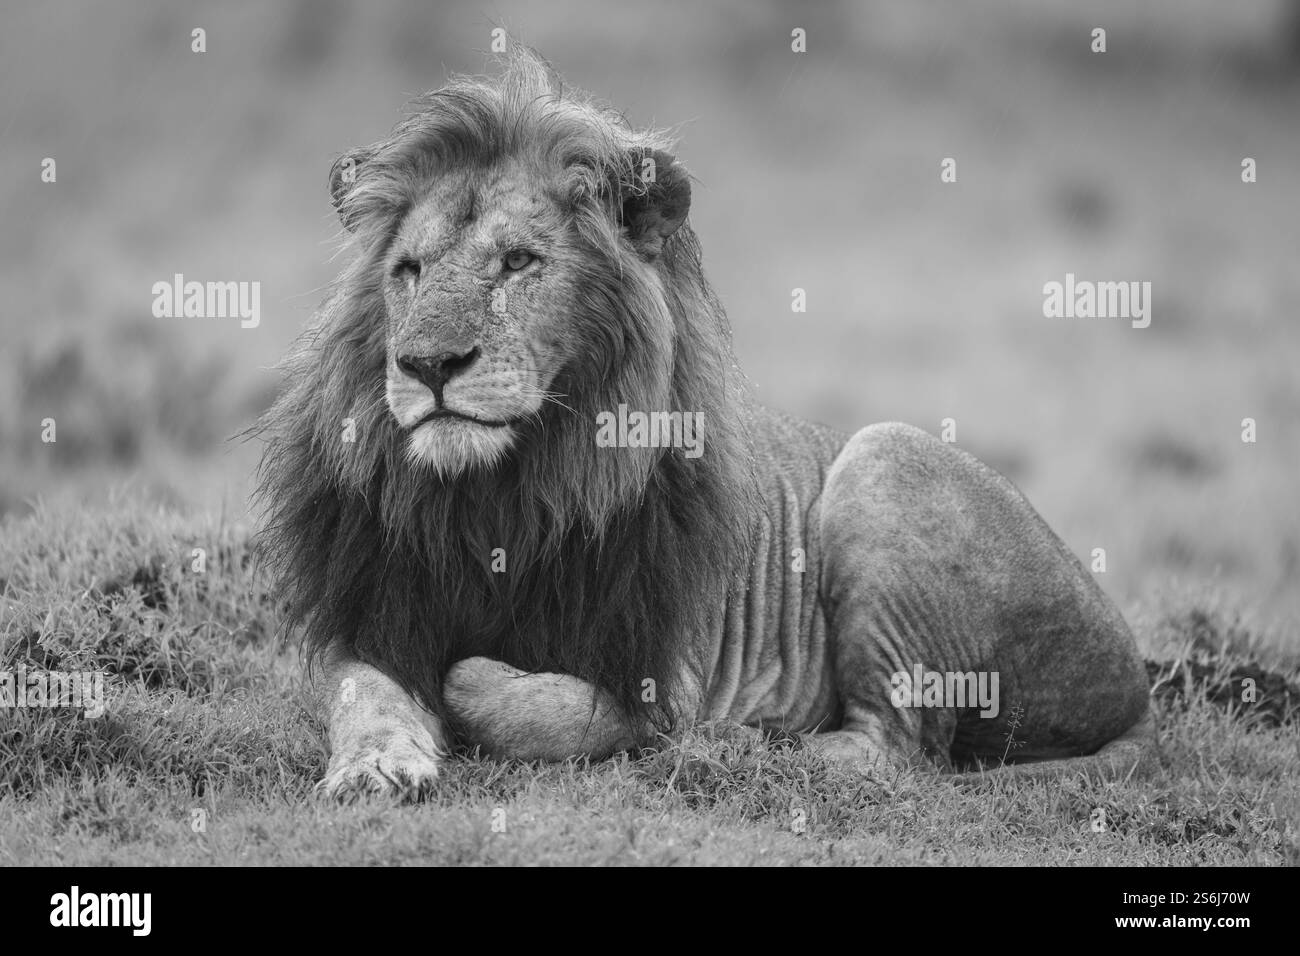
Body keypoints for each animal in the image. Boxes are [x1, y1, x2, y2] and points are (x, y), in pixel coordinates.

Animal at [256, 48, 1155, 800]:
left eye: (518, 262)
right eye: (407, 271)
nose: (428, 365)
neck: (507, 495)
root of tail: (1139, 686)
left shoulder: (663, 675)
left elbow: (538, 705)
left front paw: (475, 690)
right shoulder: (378, 612)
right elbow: (366, 692)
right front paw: (375, 765)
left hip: (886, 460)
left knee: (898, 747)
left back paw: (747, 743)